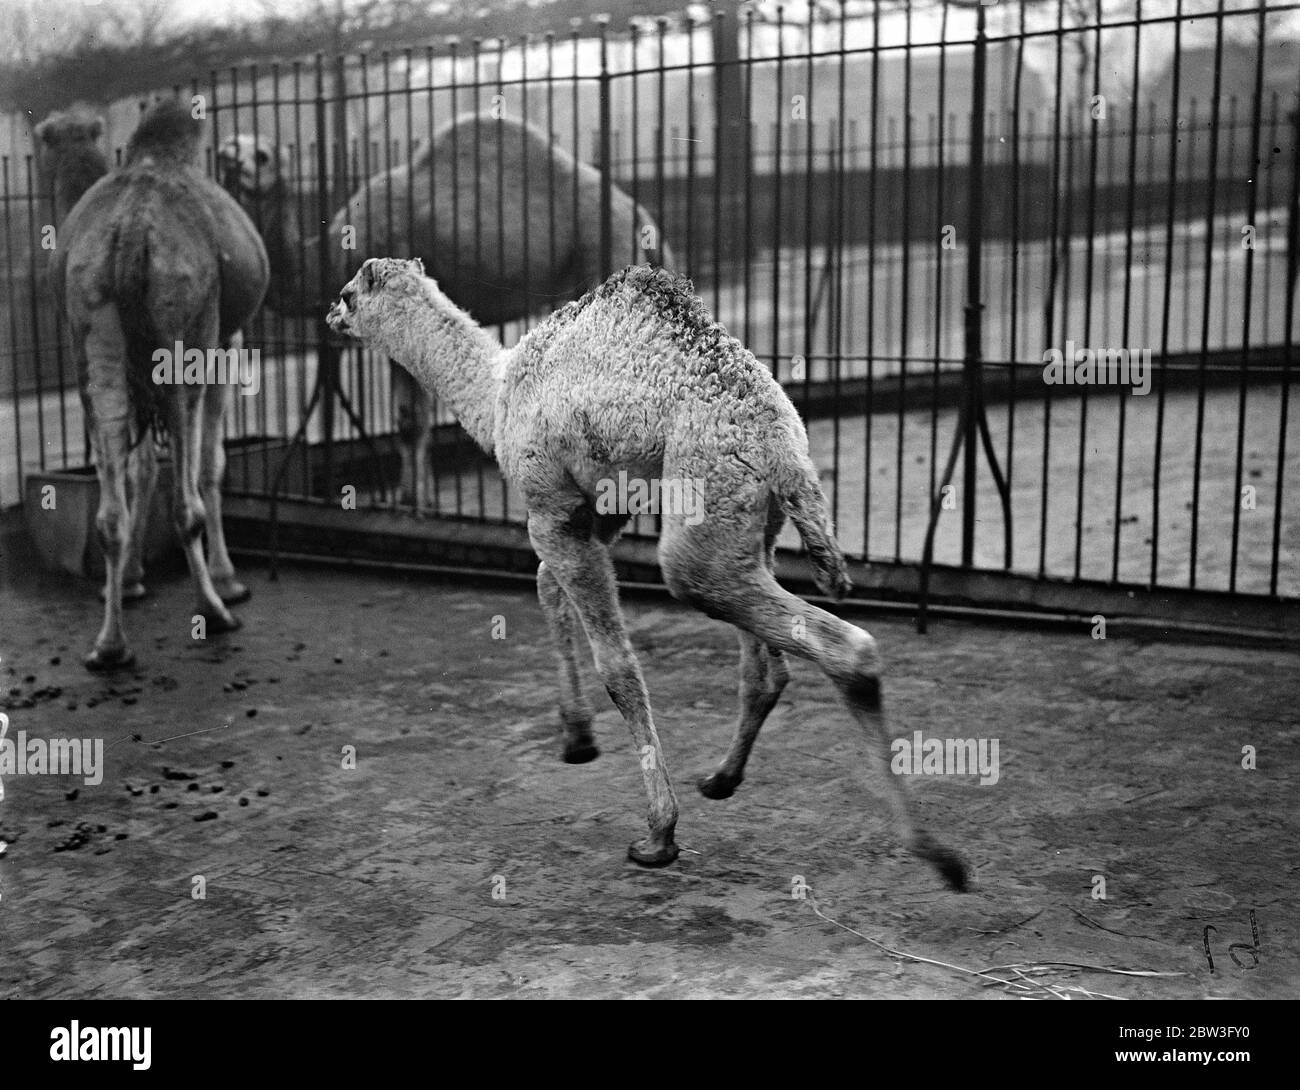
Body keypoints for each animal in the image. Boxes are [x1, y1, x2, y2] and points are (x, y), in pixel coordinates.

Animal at [48, 99, 269, 669]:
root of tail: (129, 234)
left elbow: (142, 469)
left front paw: (129, 581)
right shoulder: (225, 341)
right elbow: (212, 465)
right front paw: (229, 579)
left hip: (94, 335)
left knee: (110, 507)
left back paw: (109, 645)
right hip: (184, 335)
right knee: (185, 498)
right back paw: (215, 610)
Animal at [218, 114, 671, 510]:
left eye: (263, 155)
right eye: (226, 145)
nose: (227, 158)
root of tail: (639, 214)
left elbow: (410, 422)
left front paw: (415, 503)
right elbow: (409, 420)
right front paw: (419, 499)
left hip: (601, 246)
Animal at [327, 257, 970, 891]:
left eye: (350, 292)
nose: (331, 313)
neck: (499, 391)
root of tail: (784, 452)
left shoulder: (550, 505)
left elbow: (618, 667)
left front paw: (658, 835)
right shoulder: (598, 505)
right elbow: (544, 584)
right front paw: (577, 738)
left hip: (699, 528)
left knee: (838, 644)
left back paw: (943, 858)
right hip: (746, 527)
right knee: (766, 656)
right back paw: (722, 777)